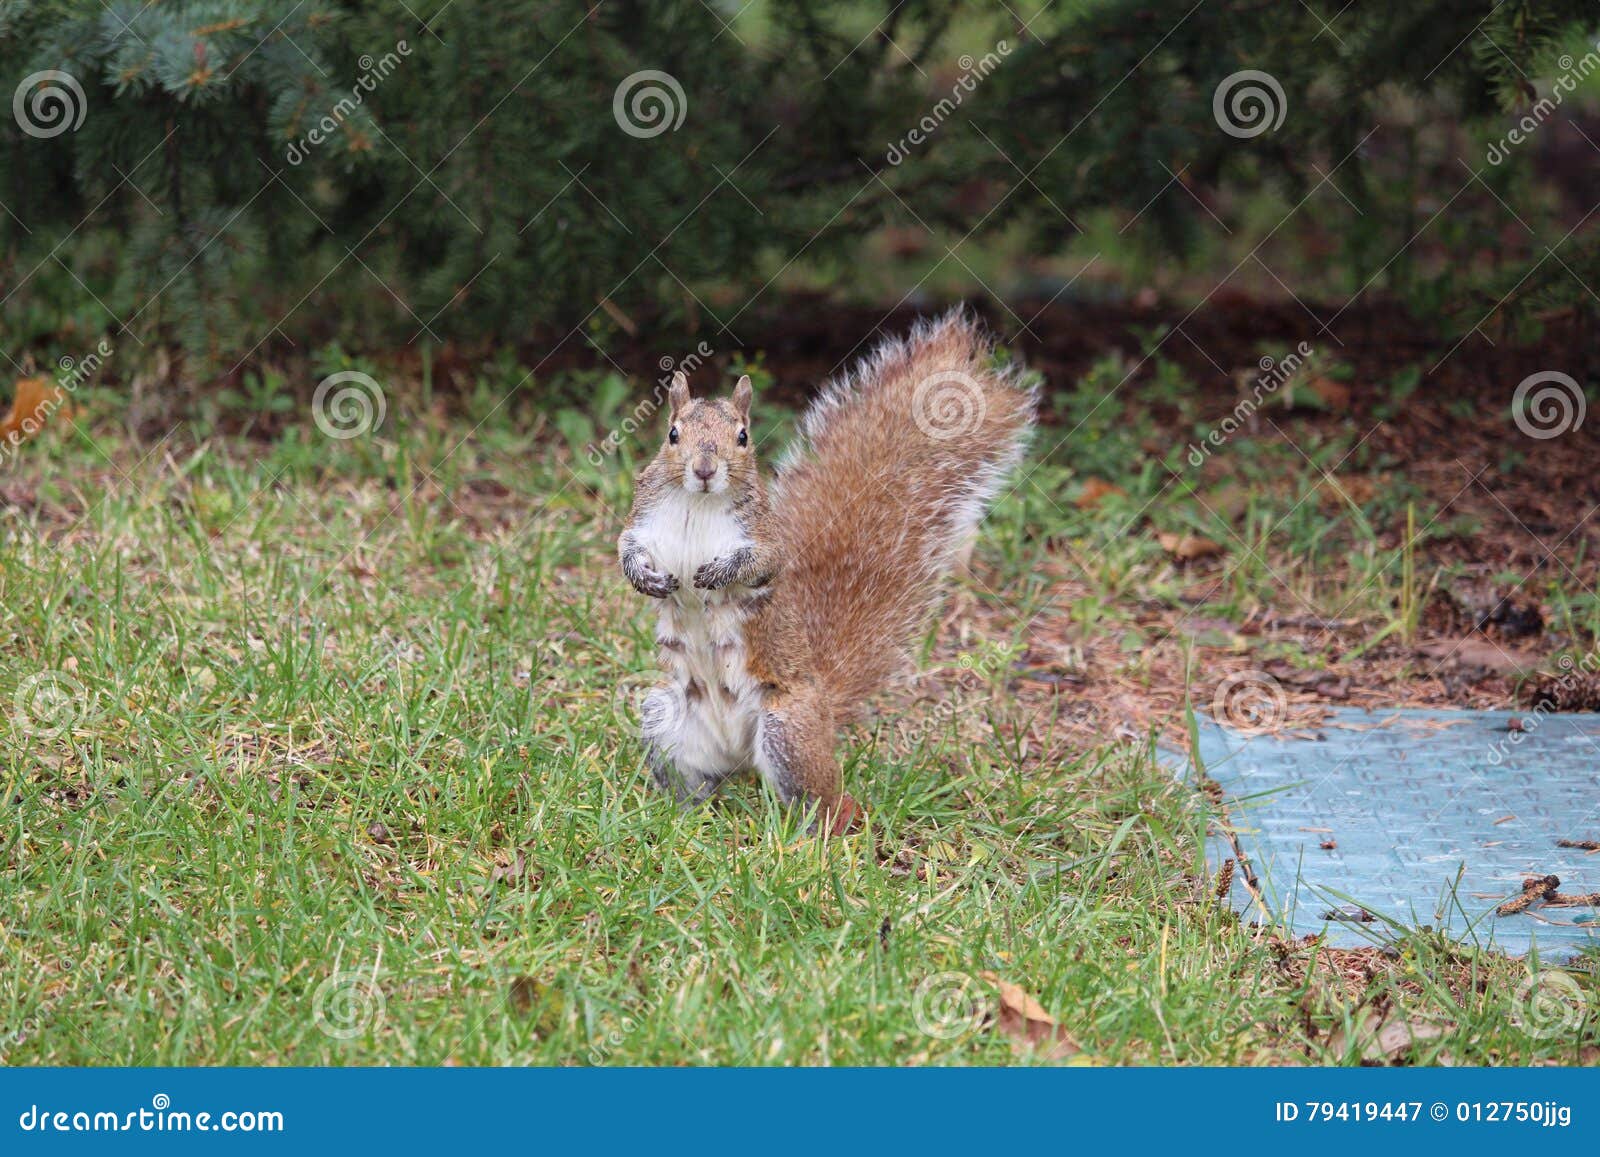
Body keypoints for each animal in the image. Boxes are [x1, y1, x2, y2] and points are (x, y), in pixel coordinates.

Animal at [617, 309, 1036, 834]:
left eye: (743, 436)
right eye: (672, 434)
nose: (705, 469)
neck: (697, 502)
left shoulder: (763, 535)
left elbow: (764, 562)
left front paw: (719, 574)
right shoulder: (642, 519)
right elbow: (625, 548)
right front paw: (644, 578)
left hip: (786, 731)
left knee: (826, 801)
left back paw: (814, 833)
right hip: (666, 715)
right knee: (695, 779)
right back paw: (684, 815)